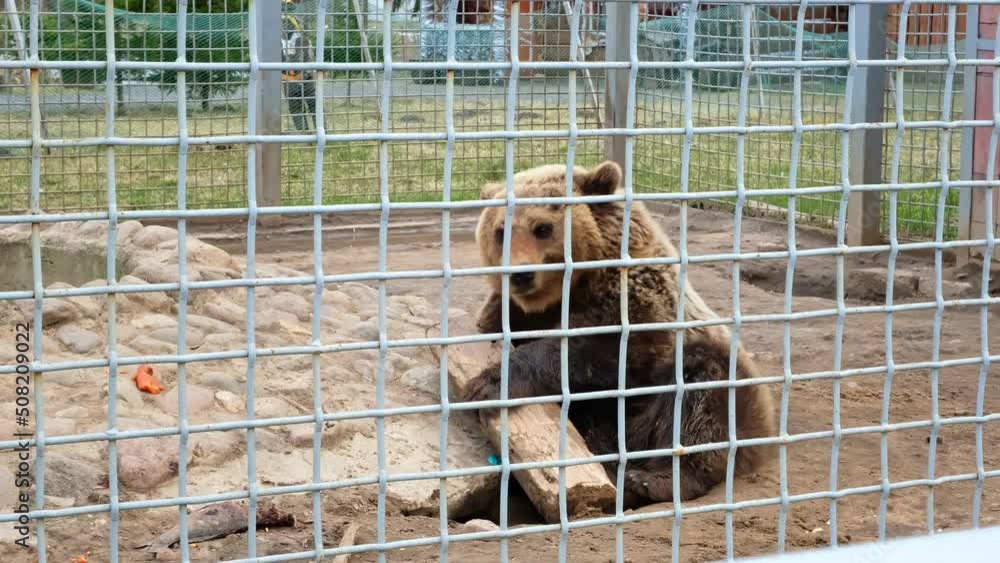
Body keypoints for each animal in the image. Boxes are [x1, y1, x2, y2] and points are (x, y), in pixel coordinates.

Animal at [462, 160, 776, 506]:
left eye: (542, 228)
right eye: (500, 231)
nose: (520, 275)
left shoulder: (638, 304)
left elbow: (599, 349)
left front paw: (491, 383)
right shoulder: (512, 312)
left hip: (726, 393)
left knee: (700, 401)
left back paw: (654, 479)